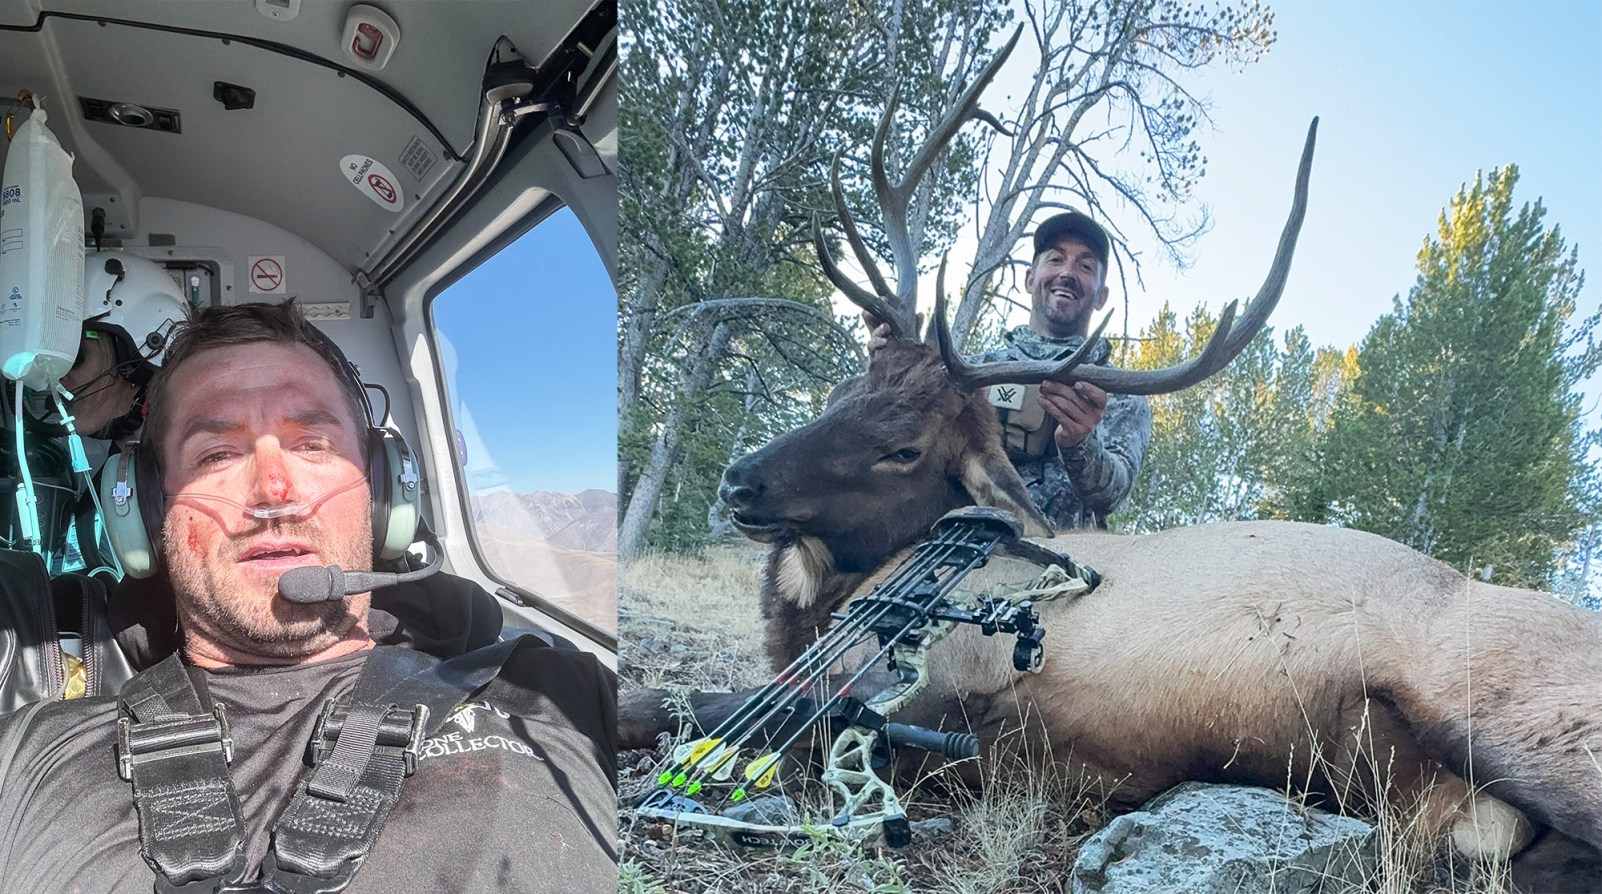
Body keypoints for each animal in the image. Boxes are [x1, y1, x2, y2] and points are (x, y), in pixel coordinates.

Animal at [619, 32, 1602, 886]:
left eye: (904, 447)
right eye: (839, 394)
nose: (739, 480)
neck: (831, 595)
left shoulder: (887, 687)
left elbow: (676, 703)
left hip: (1511, 710)